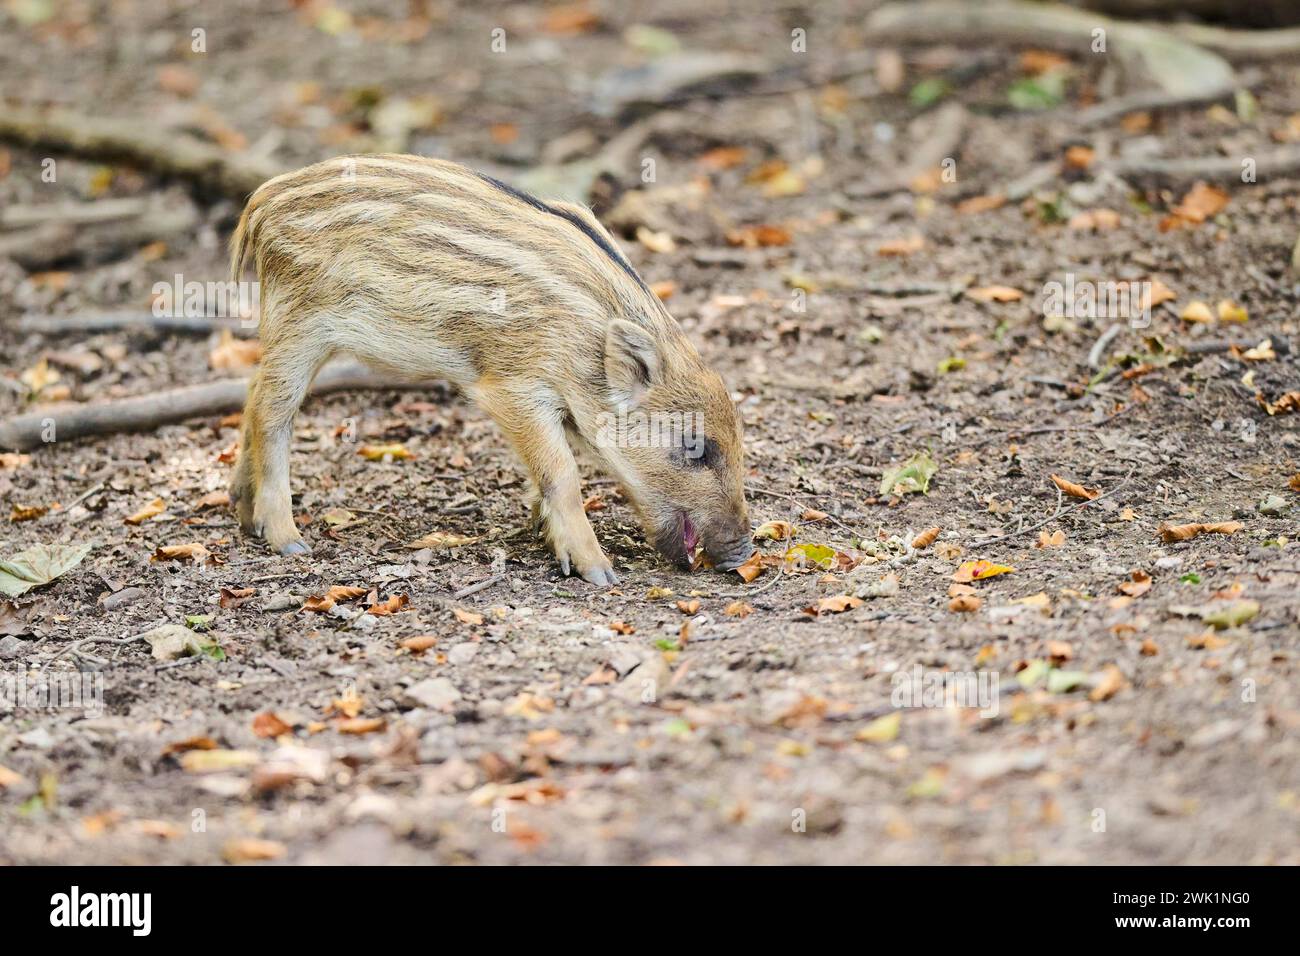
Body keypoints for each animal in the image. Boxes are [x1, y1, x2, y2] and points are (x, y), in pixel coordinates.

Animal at [228, 154, 753, 583]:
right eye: (695, 447)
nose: (743, 554)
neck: (585, 341)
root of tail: (261, 200)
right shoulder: (512, 386)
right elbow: (562, 471)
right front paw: (598, 572)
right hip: (299, 325)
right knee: (272, 413)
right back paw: (289, 541)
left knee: (251, 392)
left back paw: (244, 513)